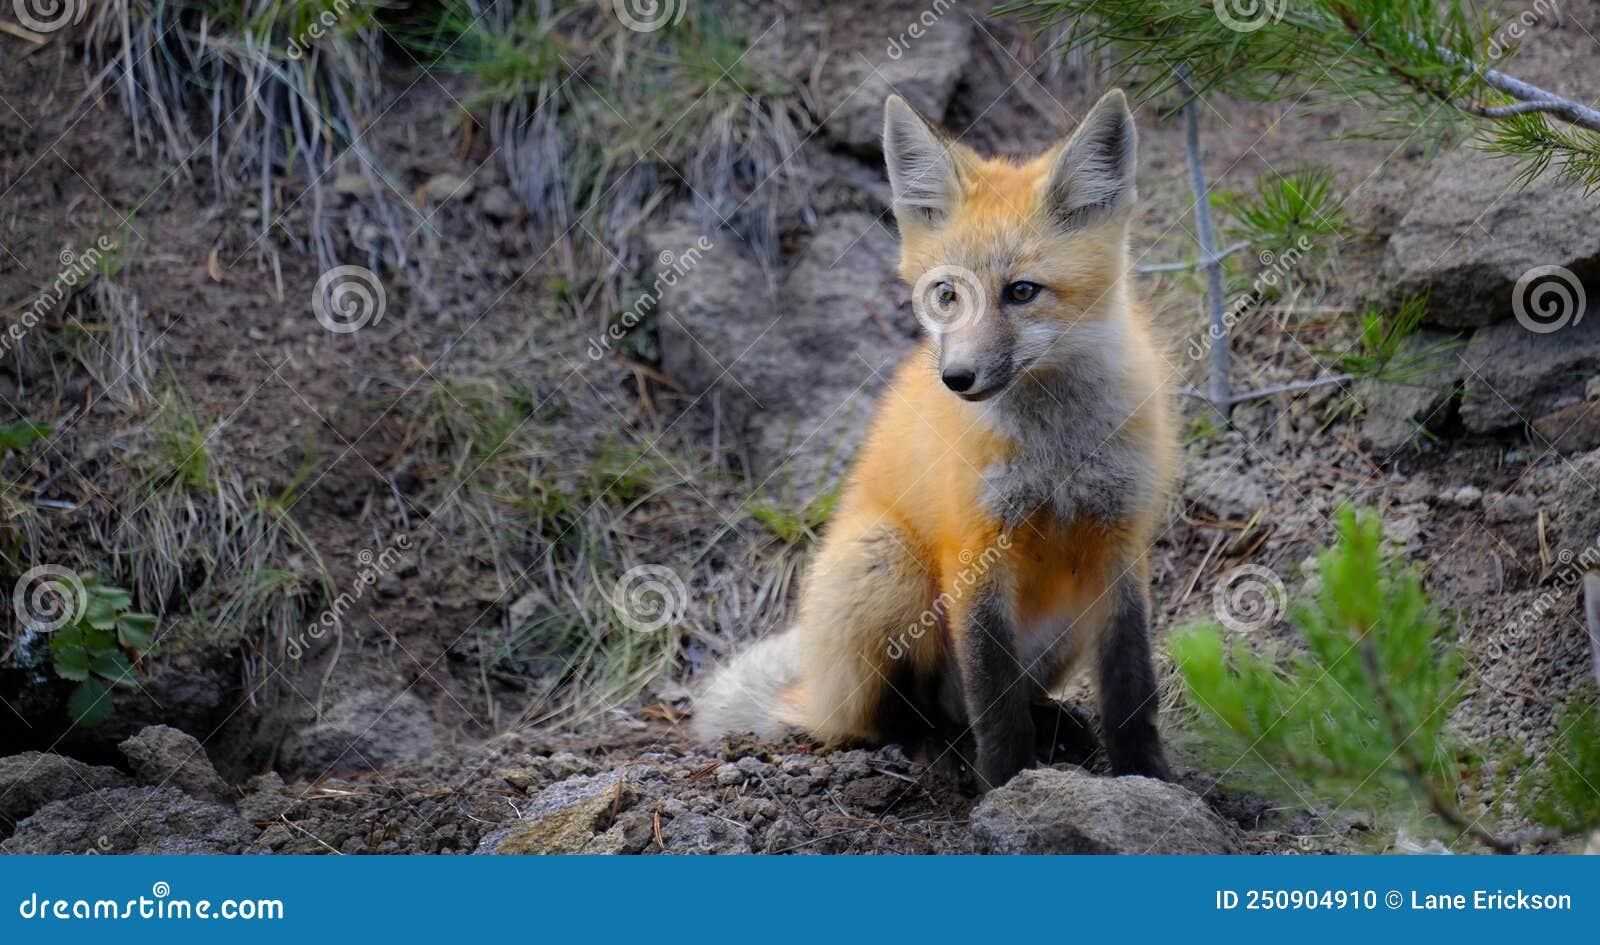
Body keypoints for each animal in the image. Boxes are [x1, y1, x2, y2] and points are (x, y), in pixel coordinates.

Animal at [693, 89, 1177, 791]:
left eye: (1022, 292)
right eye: (947, 294)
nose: (956, 378)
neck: (1055, 450)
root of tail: (815, 692)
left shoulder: (1121, 540)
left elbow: (1131, 683)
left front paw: (1149, 776)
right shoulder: (974, 547)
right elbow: (993, 699)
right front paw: (1008, 786)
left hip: (1058, 628)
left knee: (1006, 697)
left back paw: (1054, 726)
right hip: (889, 566)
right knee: (891, 720)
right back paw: (938, 747)